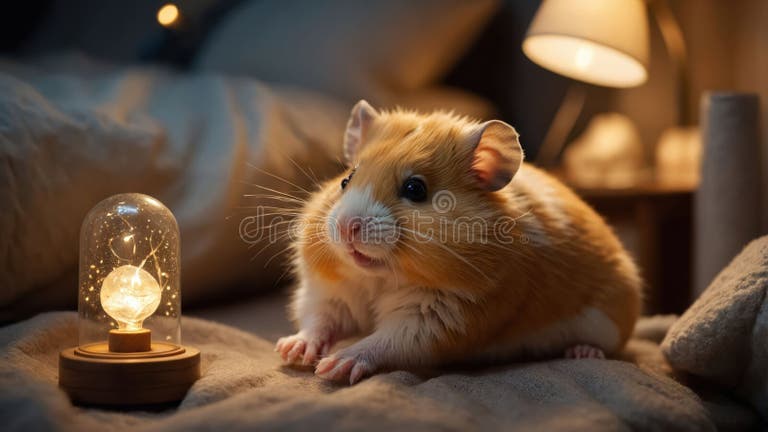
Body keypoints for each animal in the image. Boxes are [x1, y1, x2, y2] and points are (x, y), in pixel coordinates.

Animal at [275, 100, 642, 385]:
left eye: (415, 189)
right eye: (346, 180)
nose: (346, 227)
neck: (380, 277)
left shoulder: (440, 319)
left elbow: (385, 341)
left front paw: (333, 366)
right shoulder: (331, 294)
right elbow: (319, 320)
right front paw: (290, 350)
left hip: (609, 322)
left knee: (608, 345)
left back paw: (581, 351)